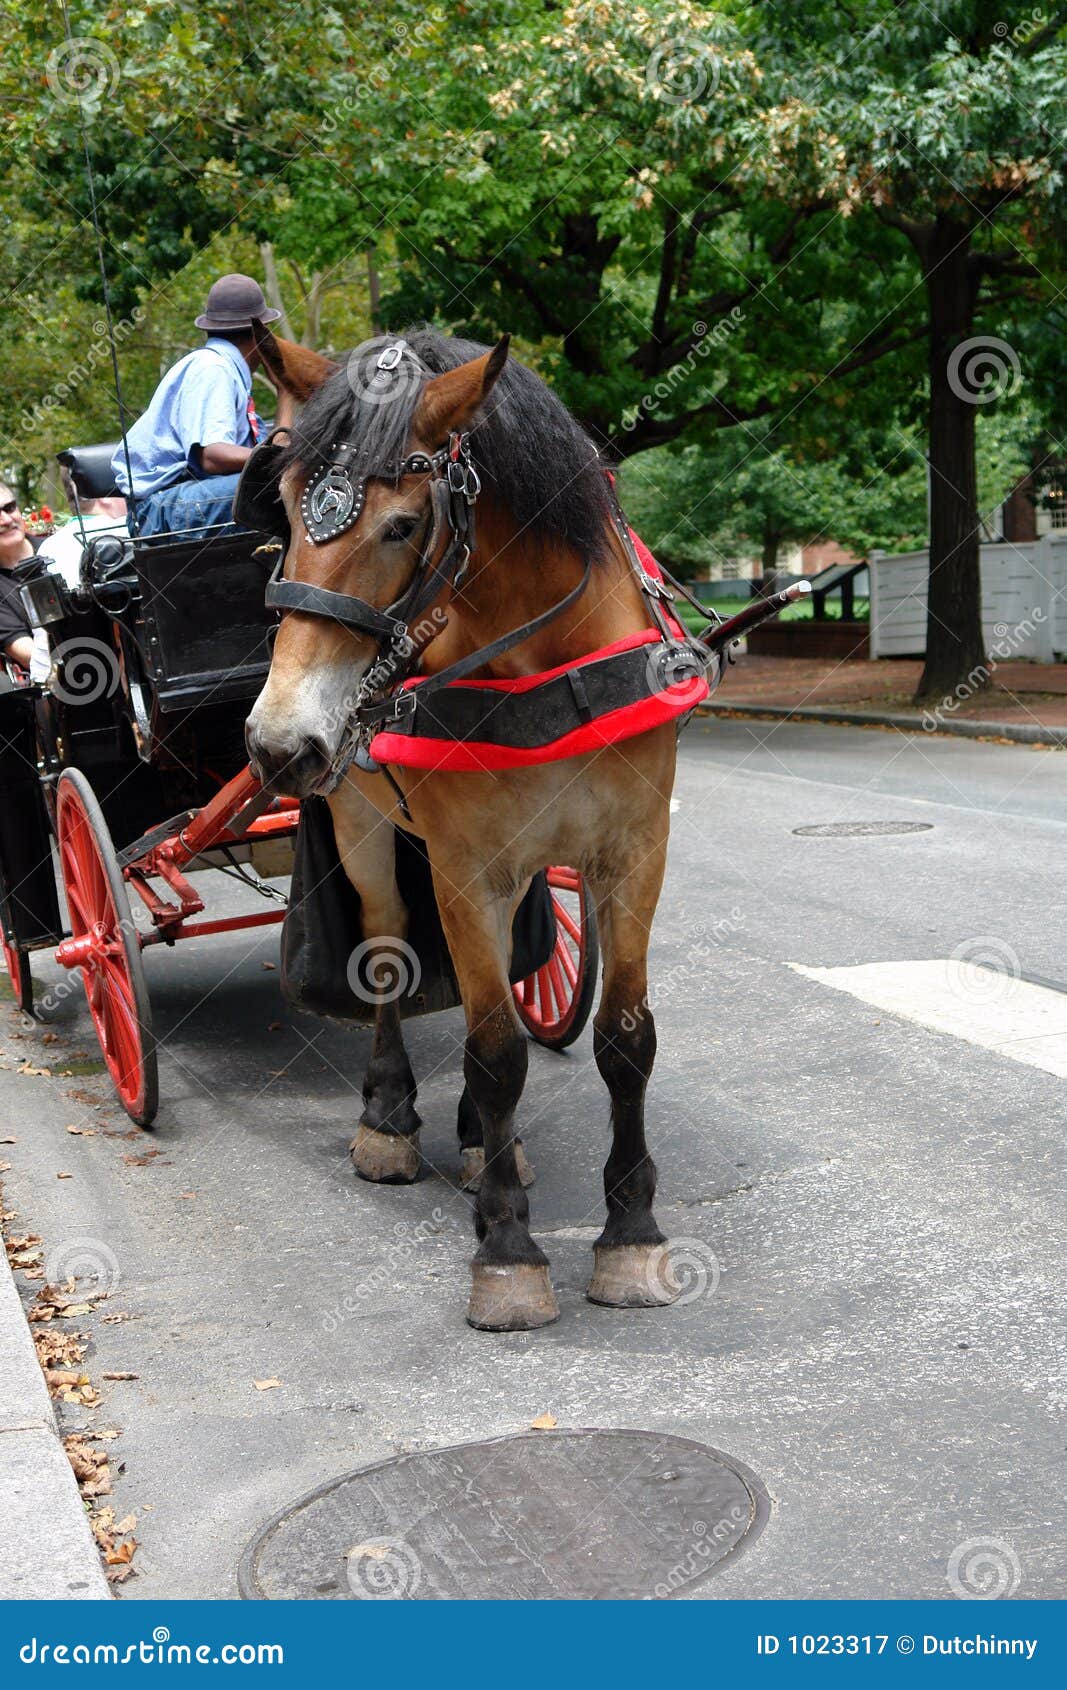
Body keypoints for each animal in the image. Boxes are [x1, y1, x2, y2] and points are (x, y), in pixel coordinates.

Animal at [243, 327, 709, 1332]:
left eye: (401, 525)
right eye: (289, 512)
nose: (276, 745)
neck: (548, 663)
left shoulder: (631, 855)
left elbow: (624, 1039)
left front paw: (631, 1233)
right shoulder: (466, 865)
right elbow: (495, 1051)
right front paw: (506, 1249)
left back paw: (472, 1139)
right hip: (364, 825)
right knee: (388, 953)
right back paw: (389, 1119)